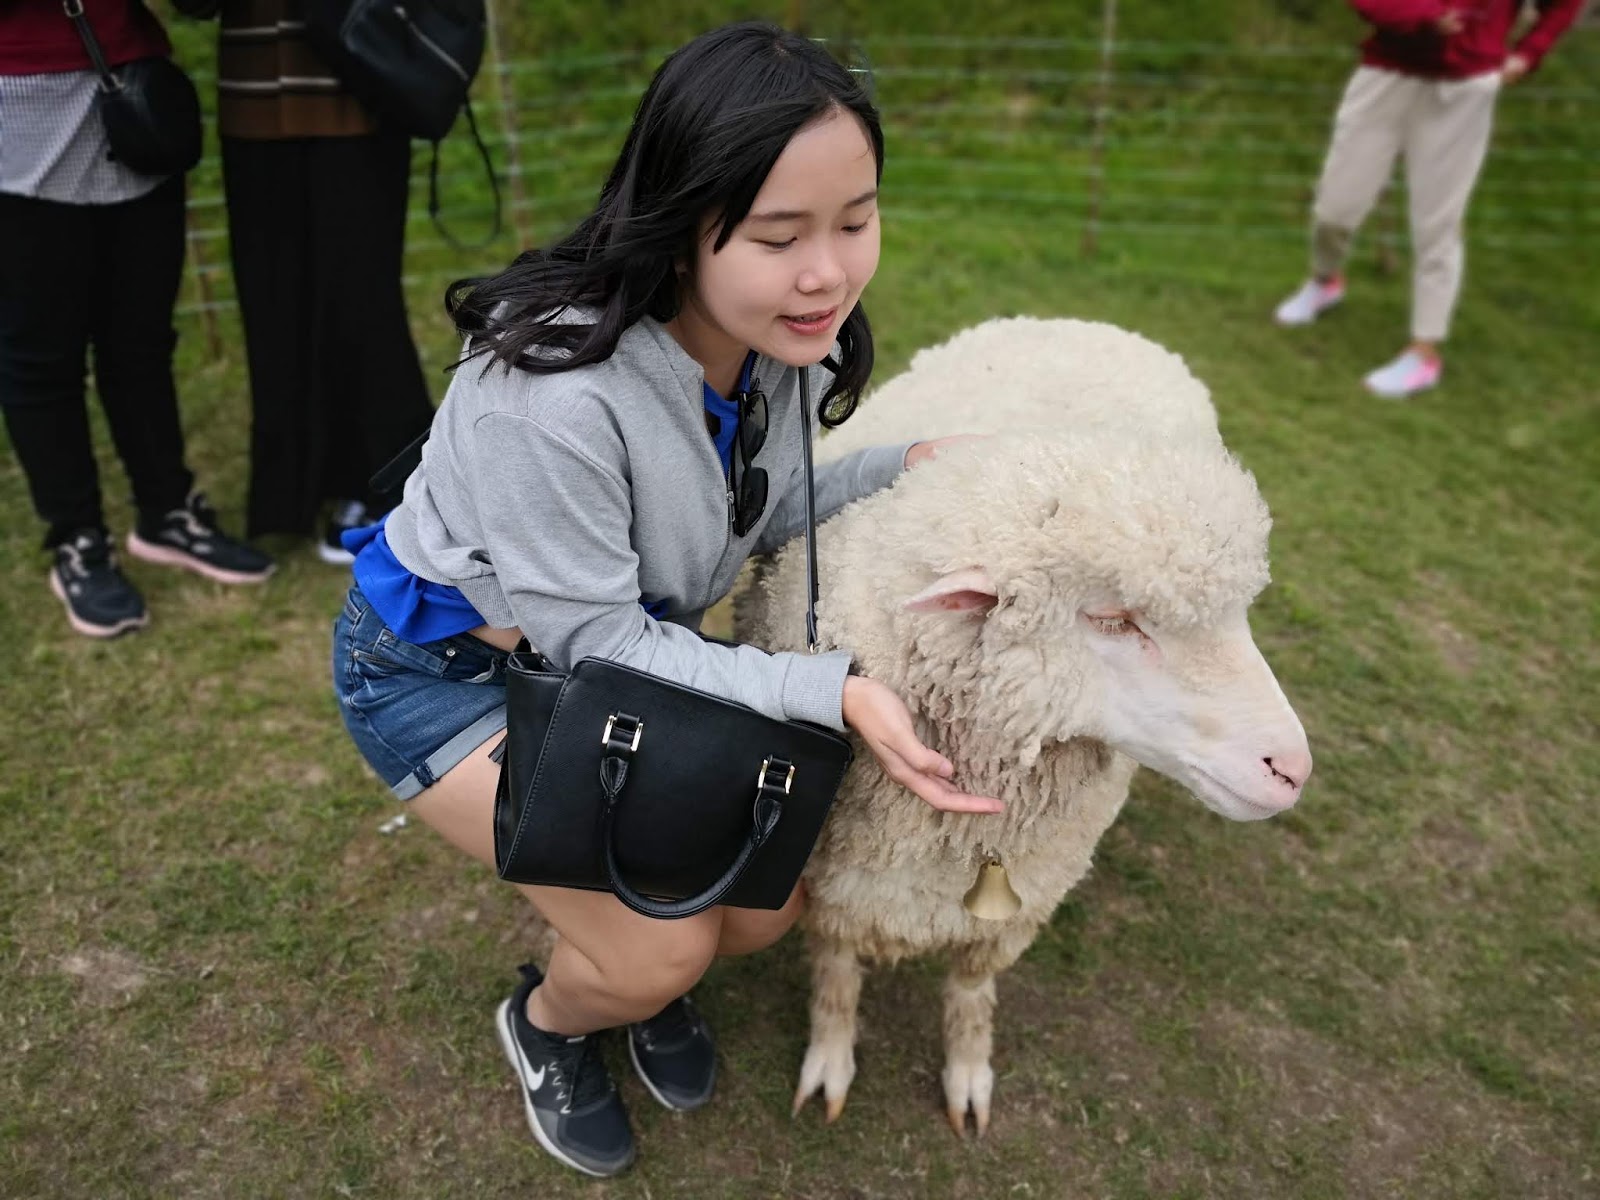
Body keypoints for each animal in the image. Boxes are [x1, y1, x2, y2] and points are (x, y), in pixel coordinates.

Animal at [734, 316, 1313, 1135]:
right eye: (1115, 618)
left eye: (1242, 615)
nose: (1292, 770)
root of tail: (1097, 322)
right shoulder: (832, 879)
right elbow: (838, 975)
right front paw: (830, 1062)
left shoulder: (1020, 900)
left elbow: (972, 991)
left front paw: (969, 1074)